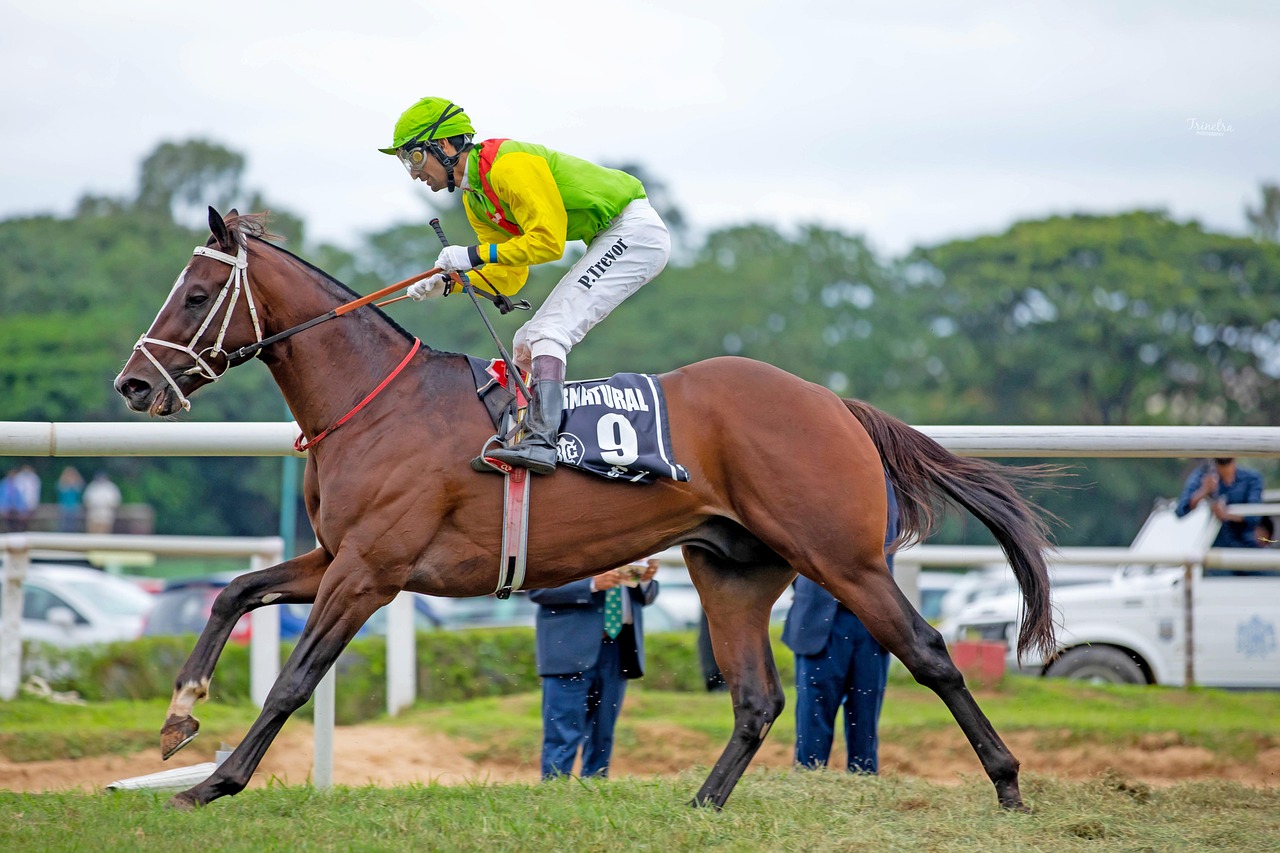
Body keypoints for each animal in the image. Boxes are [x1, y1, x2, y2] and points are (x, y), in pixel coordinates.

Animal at [114, 208, 1057, 811]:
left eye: (195, 295)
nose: (132, 384)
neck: (376, 402)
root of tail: (836, 403)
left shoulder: (370, 570)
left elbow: (293, 679)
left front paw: (213, 783)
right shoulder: (335, 556)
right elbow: (235, 591)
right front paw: (178, 718)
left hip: (844, 557)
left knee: (929, 652)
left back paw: (1009, 782)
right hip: (733, 569)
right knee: (757, 697)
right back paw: (703, 803)